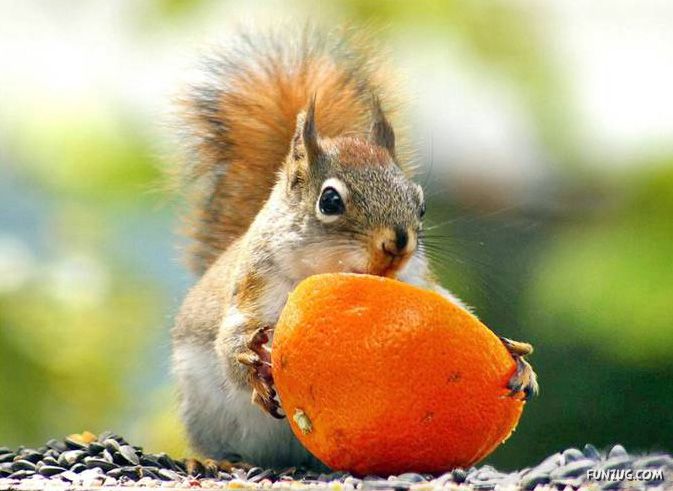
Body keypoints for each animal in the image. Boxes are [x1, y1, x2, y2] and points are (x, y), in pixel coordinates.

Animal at [171, 26, 538, 469]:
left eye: (420, 204)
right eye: (330, 201)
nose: (398, 242)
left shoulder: (422, 283)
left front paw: (516, 357)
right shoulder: (255, 286)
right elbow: (232, 342)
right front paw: (251, 361)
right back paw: (218, 461)